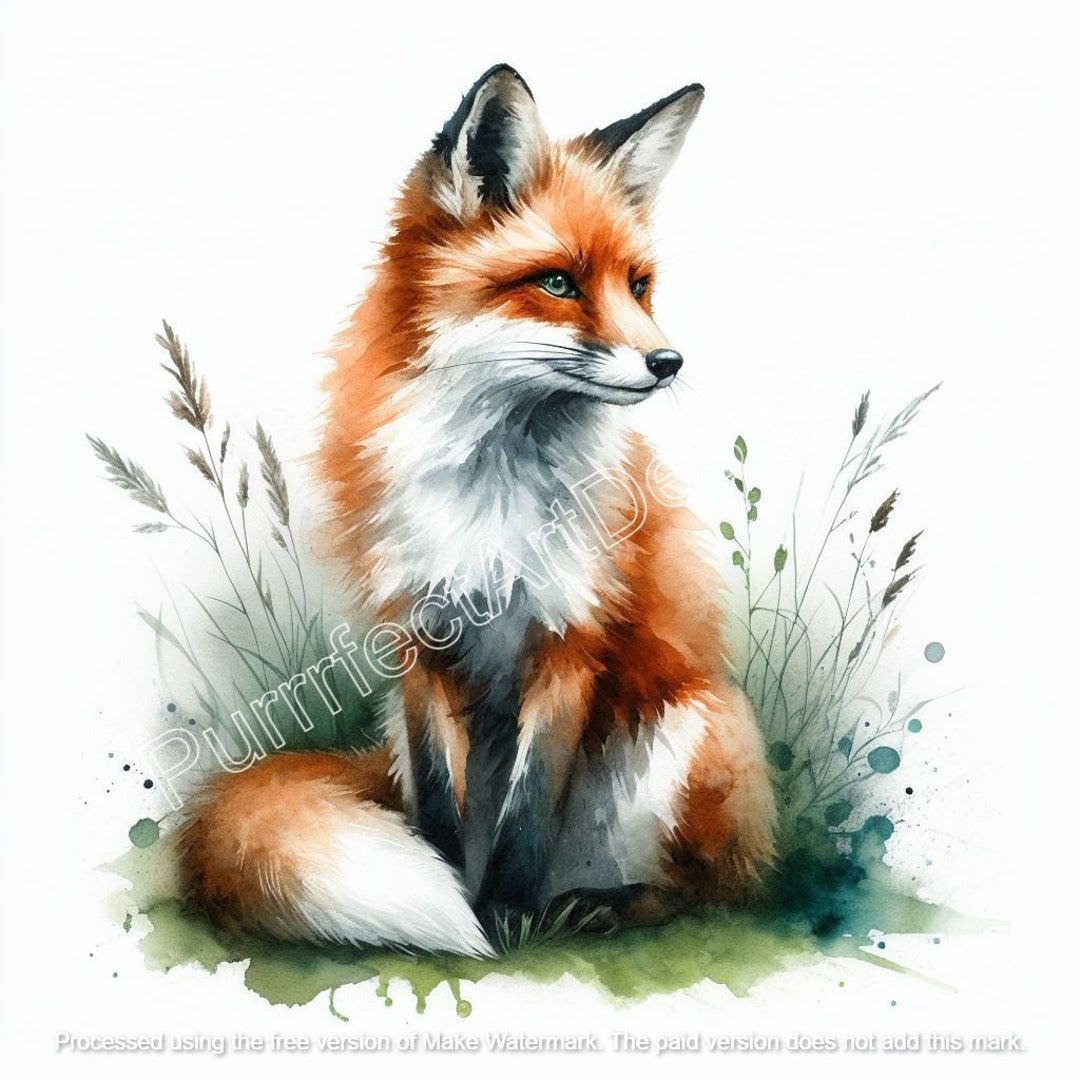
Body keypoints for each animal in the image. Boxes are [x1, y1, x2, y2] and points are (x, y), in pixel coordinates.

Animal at [176, 65, 775, 957]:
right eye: (558, 282)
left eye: (638, 286)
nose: (667, 362)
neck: (493, 498)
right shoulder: (416, 637)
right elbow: (437, 805)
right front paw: (459, 896)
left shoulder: (570, 634)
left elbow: (529, 807)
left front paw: (504, 912)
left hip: (692, 729)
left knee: (711, 891)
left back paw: (601, 904)